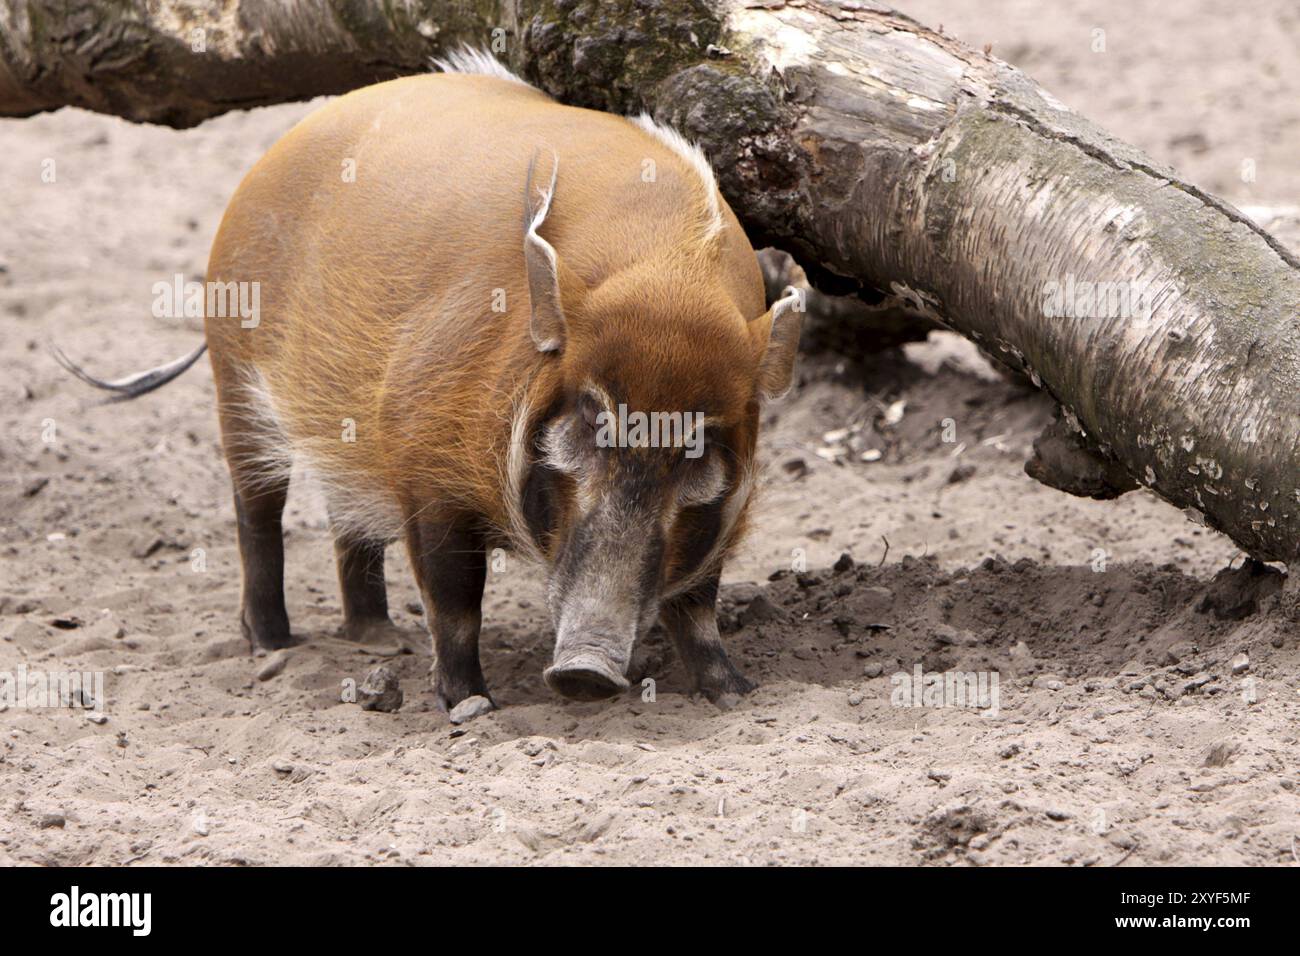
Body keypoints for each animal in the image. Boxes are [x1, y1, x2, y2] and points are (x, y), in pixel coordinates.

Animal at [54, 48, 803, 710]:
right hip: (232, 375)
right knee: (257, 508)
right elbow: (453, 599)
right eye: (590, 419)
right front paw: (471, 706)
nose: (585, 671)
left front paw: (736, 693)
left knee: (345, 518)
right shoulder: (426, 472)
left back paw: (376, 636)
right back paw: (273, 644)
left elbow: (698, 606)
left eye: (697, 446)